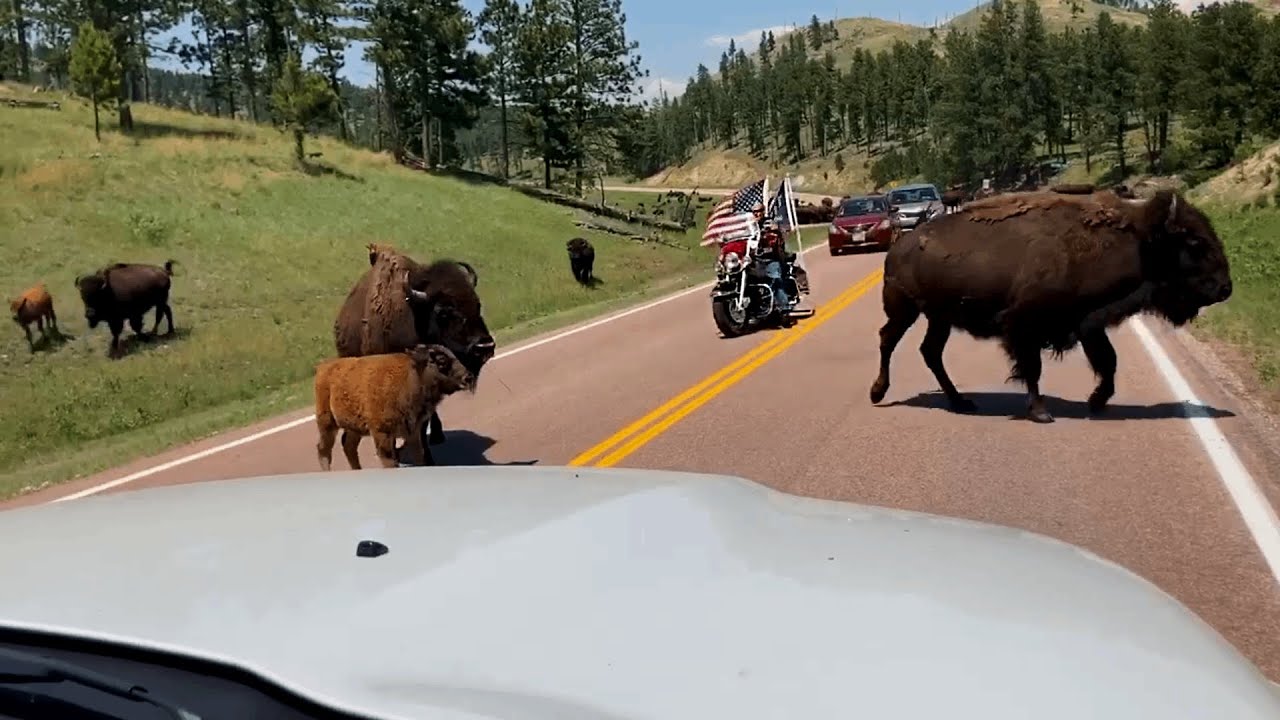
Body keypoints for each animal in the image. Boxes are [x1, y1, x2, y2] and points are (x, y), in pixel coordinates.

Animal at [868, 188, 1232, 424]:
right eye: (1194, 242)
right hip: (904, 310)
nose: (1225, 288)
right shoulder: (1024, 325)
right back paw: (878, 393)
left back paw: (961, 401)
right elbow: (1033, 368)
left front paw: (1096, 402)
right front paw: (1041, 412)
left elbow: (1108, 361)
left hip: (938, 318)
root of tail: (898, 247)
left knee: (930, 351)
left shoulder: (1087, 322)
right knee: (888, 339)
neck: (1138, 241)